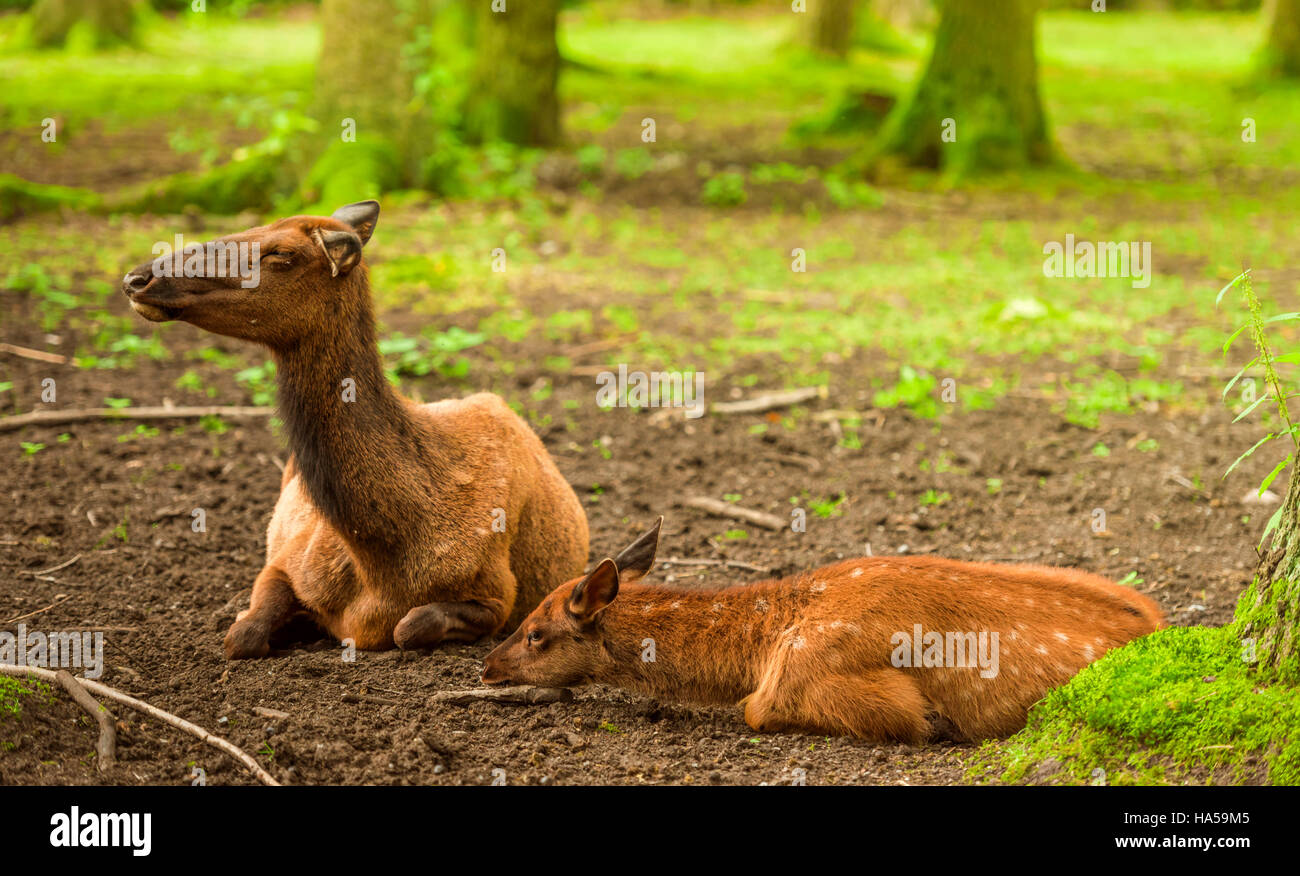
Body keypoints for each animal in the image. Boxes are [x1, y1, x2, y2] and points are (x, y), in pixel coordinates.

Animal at [121, 201, 589, 658]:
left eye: (281, 254)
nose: (136, 278)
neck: (381, 558)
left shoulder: (498, 593)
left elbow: (409, 626)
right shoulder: (286, 560)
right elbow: (242, 636)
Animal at [482, 518, 1164, 742]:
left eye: (536, 632)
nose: (486, 666)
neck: (761, 647)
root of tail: (1159, 625)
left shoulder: (807, 680)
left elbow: (754, 710)